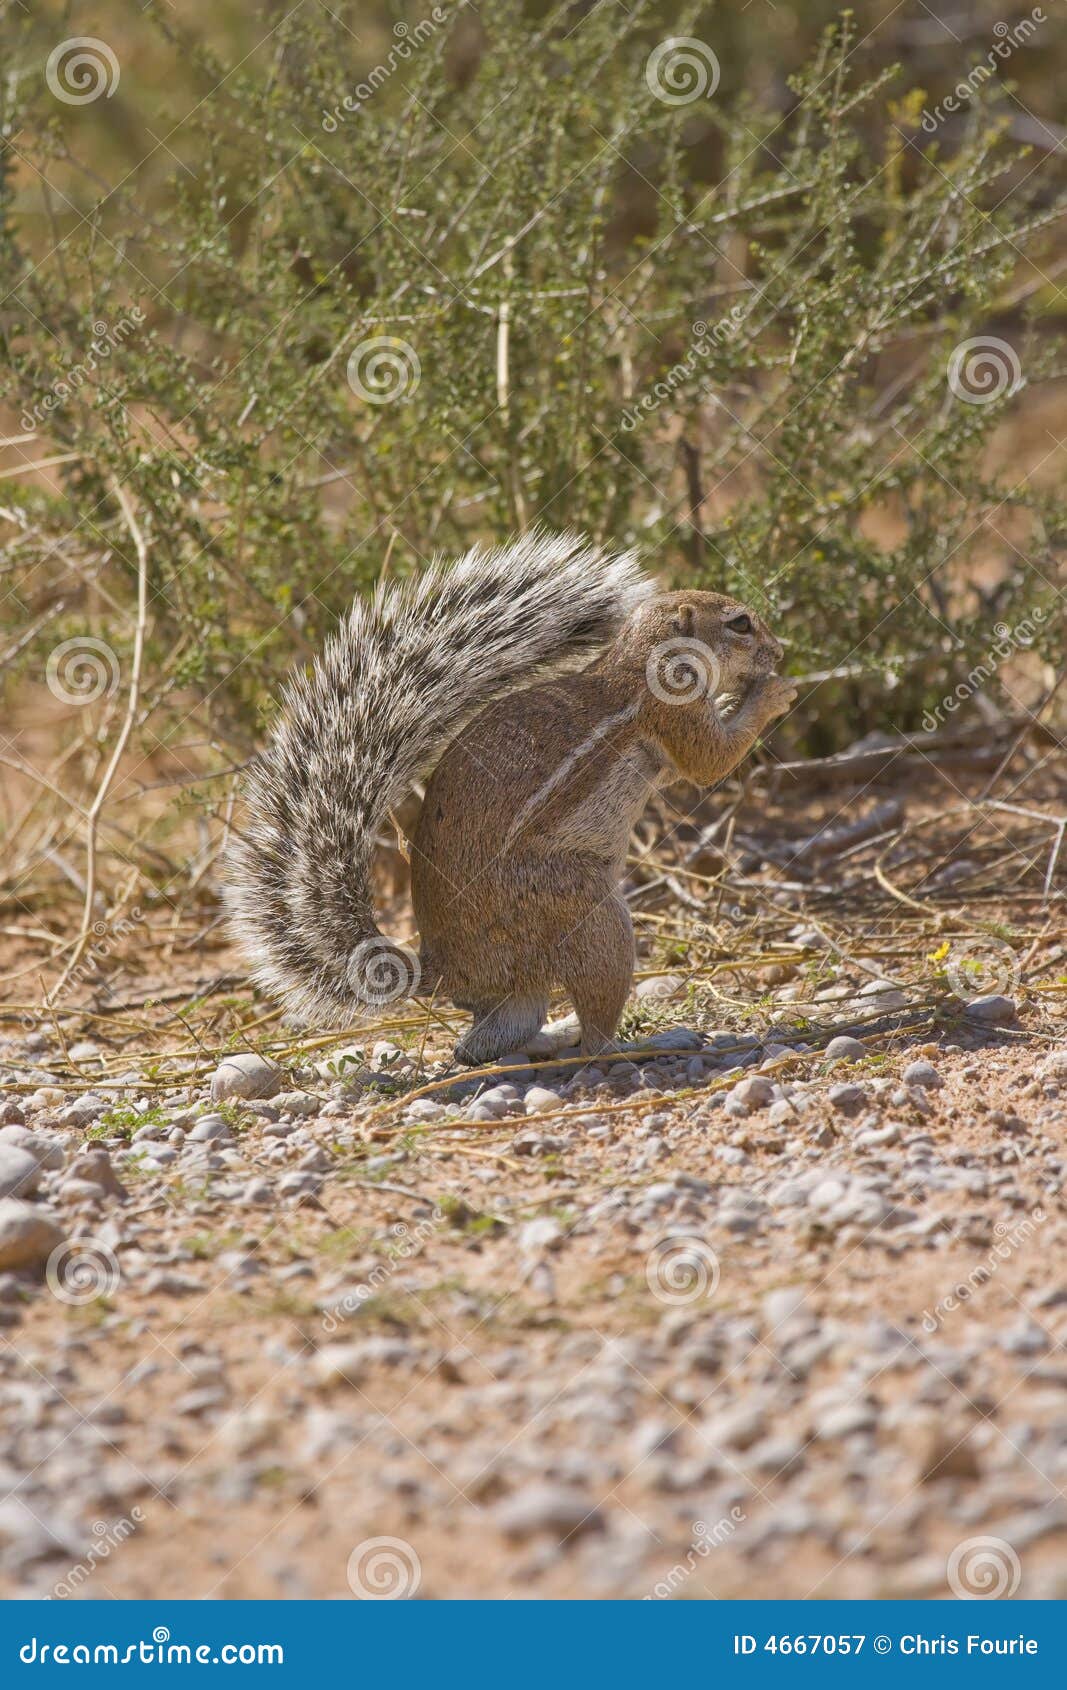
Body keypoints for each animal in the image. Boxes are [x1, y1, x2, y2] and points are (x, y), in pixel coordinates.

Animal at [227, 530, 794, 1064]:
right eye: (740, 624)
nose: (781, 651)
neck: (640, 661)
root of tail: (441, 969)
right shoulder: (673, 714)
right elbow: (709, 762)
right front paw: (770, 694)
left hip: (525, 979)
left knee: (494, 1036)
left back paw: (551, 1035)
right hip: (586, 915)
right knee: (595, 1038)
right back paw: (645, 1043)